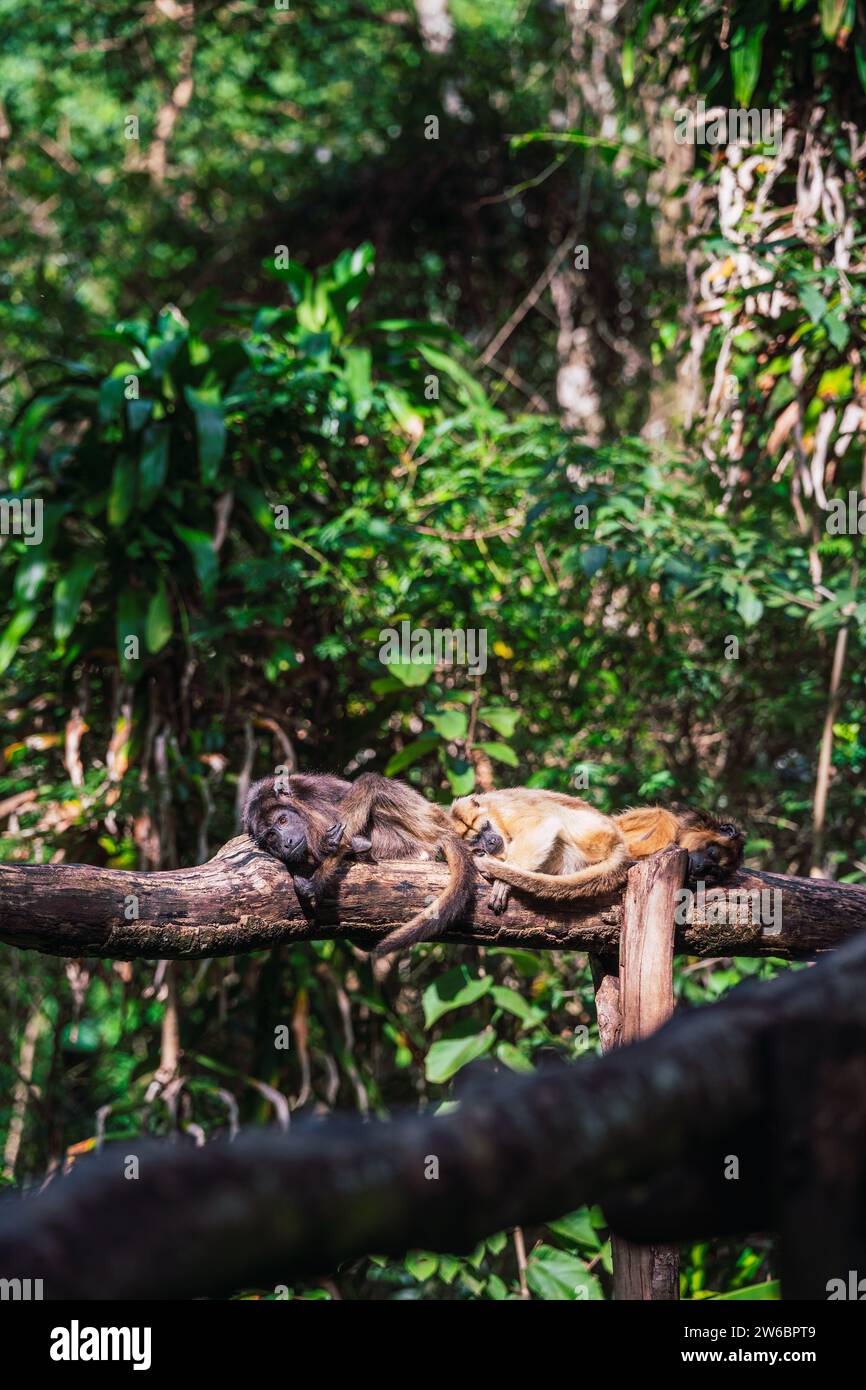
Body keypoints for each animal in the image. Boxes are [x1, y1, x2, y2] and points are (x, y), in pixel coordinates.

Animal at [244, 772, 475, 955]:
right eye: (271, 836)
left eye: (283, 820)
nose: (287, 842)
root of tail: (444, 830)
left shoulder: (310, 789)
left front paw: (322, 869)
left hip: (425, 825)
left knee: (371, 781)